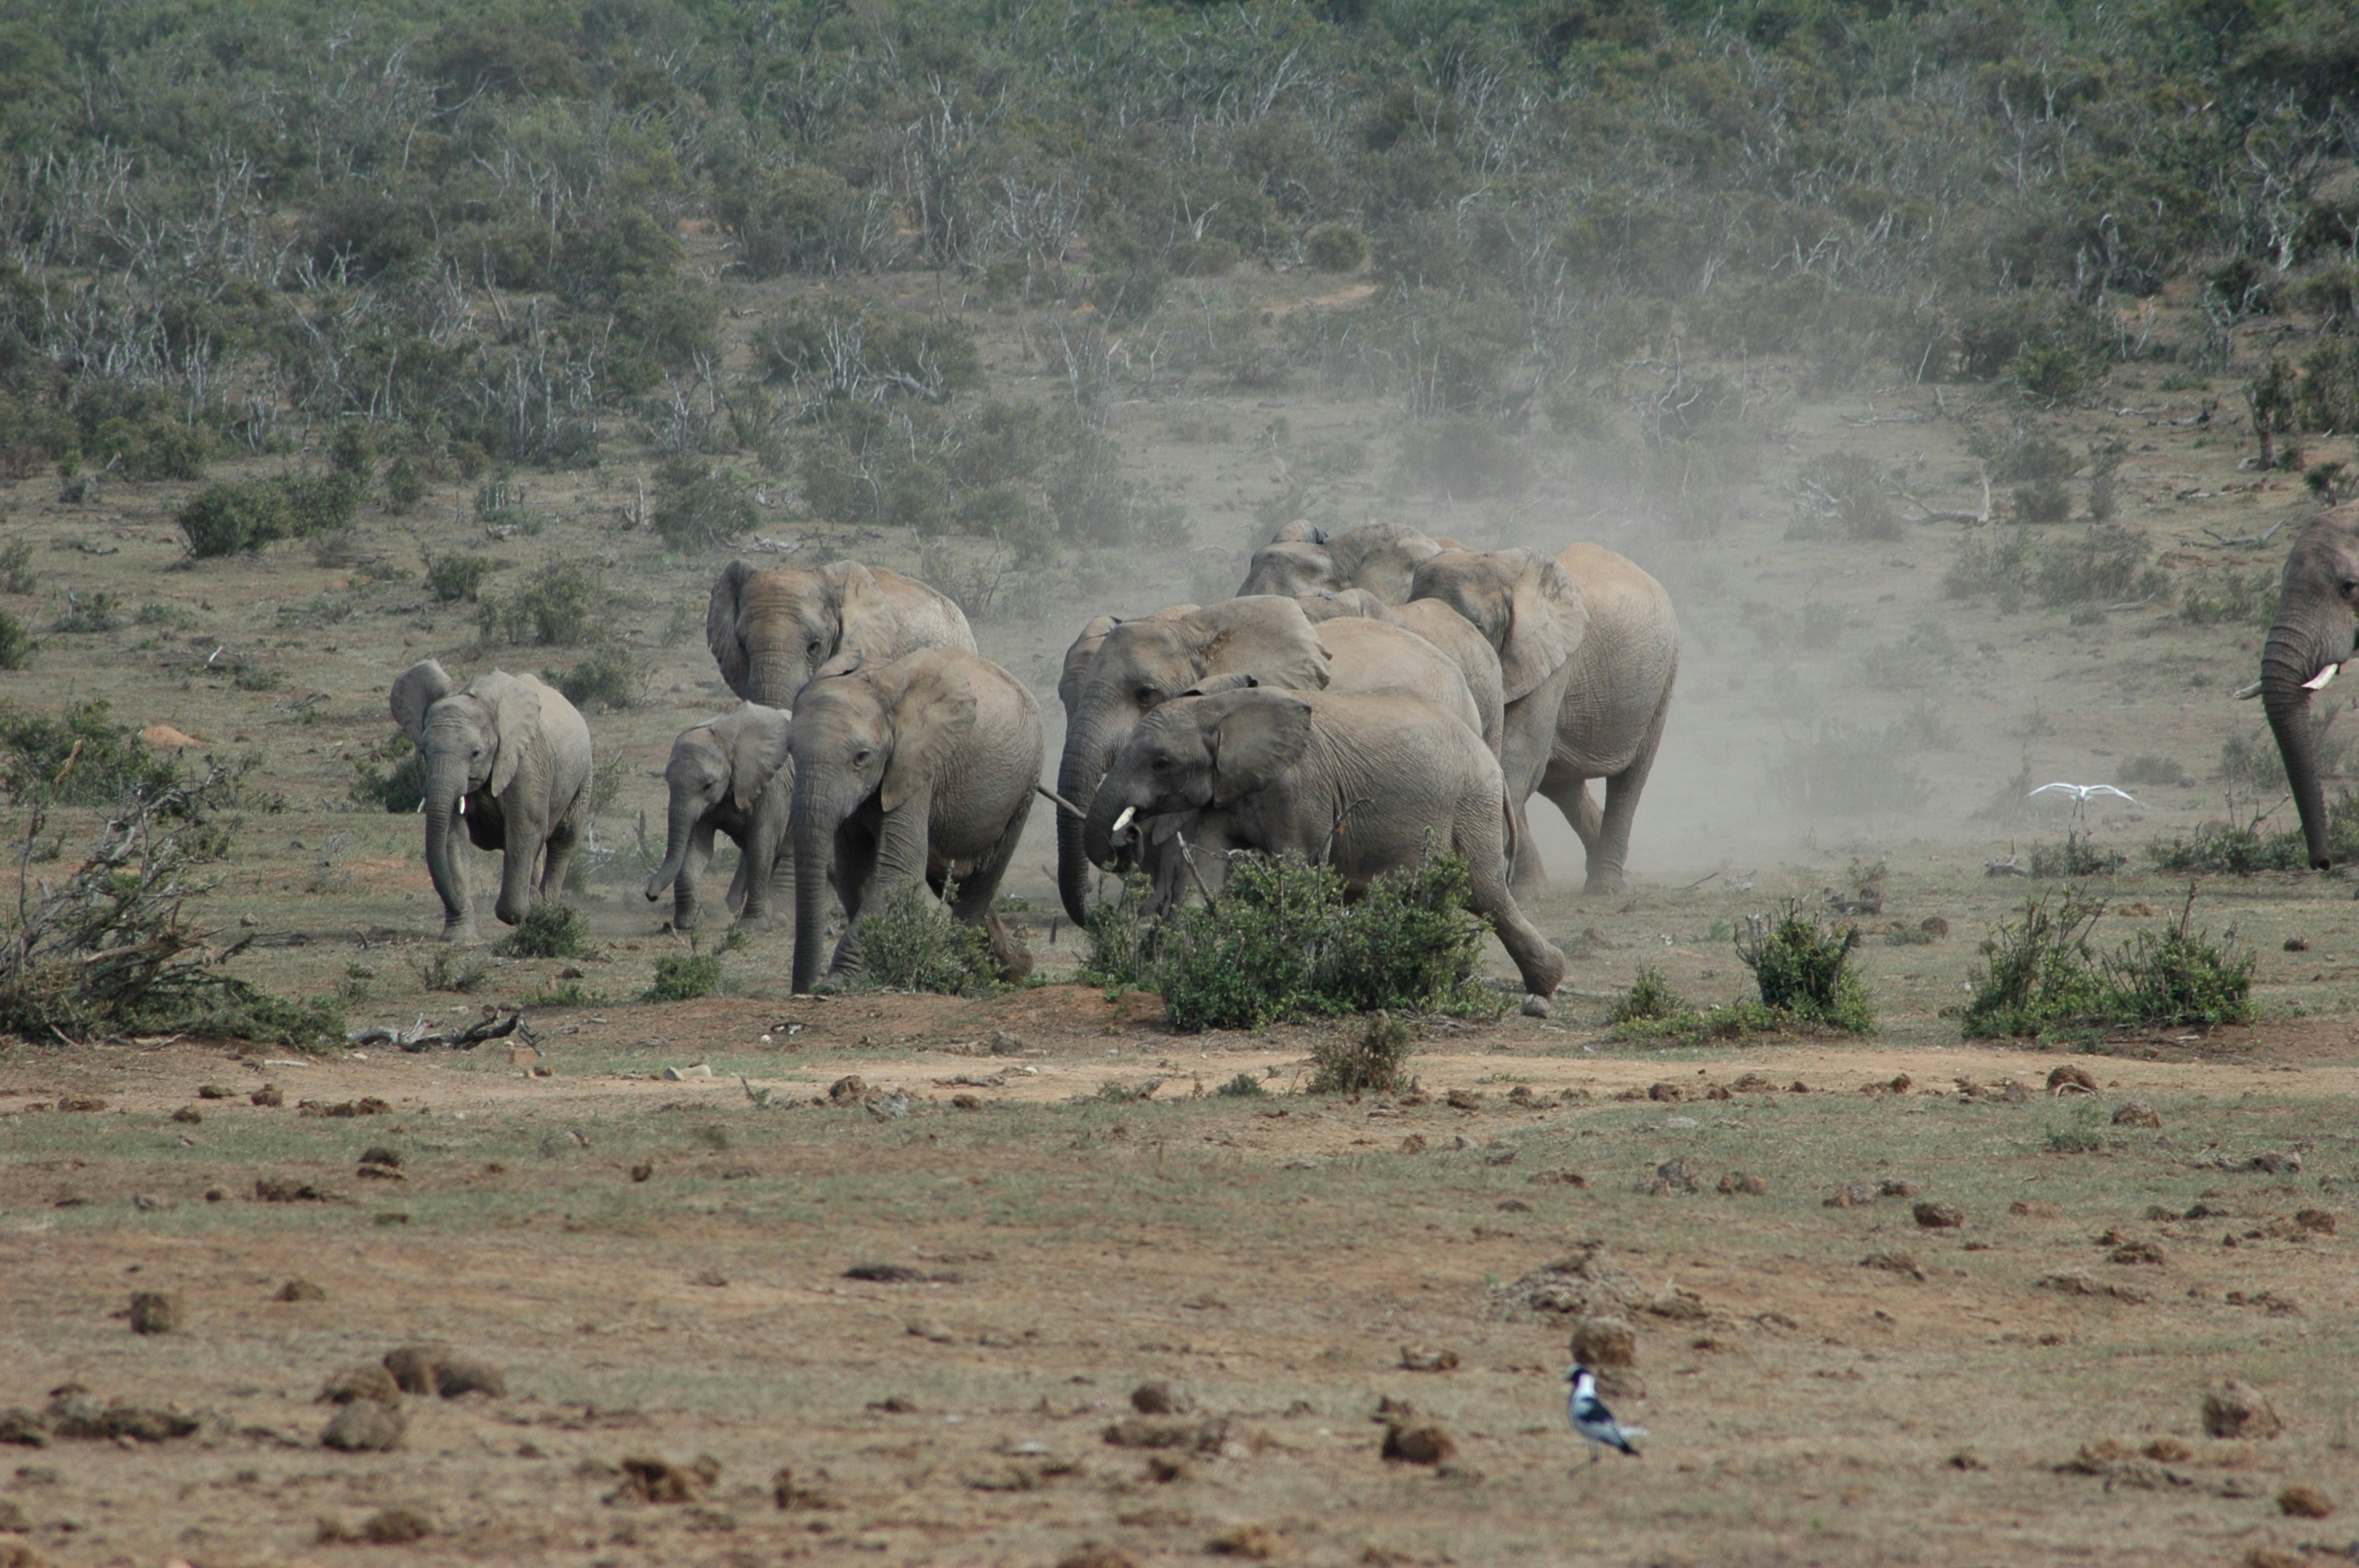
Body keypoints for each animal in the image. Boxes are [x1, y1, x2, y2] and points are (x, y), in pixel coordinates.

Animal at [390, 659, 593, 944]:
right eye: (424, 753)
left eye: (476, 753)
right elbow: (452, 836)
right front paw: (460, 937)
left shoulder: (526, 764)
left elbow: (524, 829)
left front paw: (530, 907)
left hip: (584, 773)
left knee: (563, 840)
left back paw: (547, 909)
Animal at [643, 703, 796, 931]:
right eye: (668, 781)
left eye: (708, 785)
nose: (650, 895)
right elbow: (699, 847)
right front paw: (688, 922)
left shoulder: (773, 786)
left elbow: (762, 843)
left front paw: (752, 926)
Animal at [786, 648, 1041, 994]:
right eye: (790, 749)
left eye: (861, 757)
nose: (803, 989)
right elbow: (853, 870)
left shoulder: (917, 764)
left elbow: (899, 867)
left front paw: (836, 985)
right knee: (951, 878)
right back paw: (1013, 966)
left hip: (1024, 785)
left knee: (980, 882)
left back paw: (962, 971)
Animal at [1081, 681, 1566, 1000]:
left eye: (1161, 763)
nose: (1129, 834)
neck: (1223, 710)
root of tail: (1490, 759)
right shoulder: (1222, 792)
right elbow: (1205, 872)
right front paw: (1175, 974)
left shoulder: (1302, 788)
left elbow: (1296, 870)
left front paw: (1293, 978)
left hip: (1471, 805)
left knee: (1485, 893)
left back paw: (1543, 991)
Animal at [1410, 544, 1678, 894]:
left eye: (1478, 628)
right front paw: (1528, 892)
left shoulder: (1552, 664)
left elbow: (1519, 757)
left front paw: (1516, 892)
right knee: (1561, 784)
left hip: (1663, 680)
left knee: (1630, 779)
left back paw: (1606, 887)